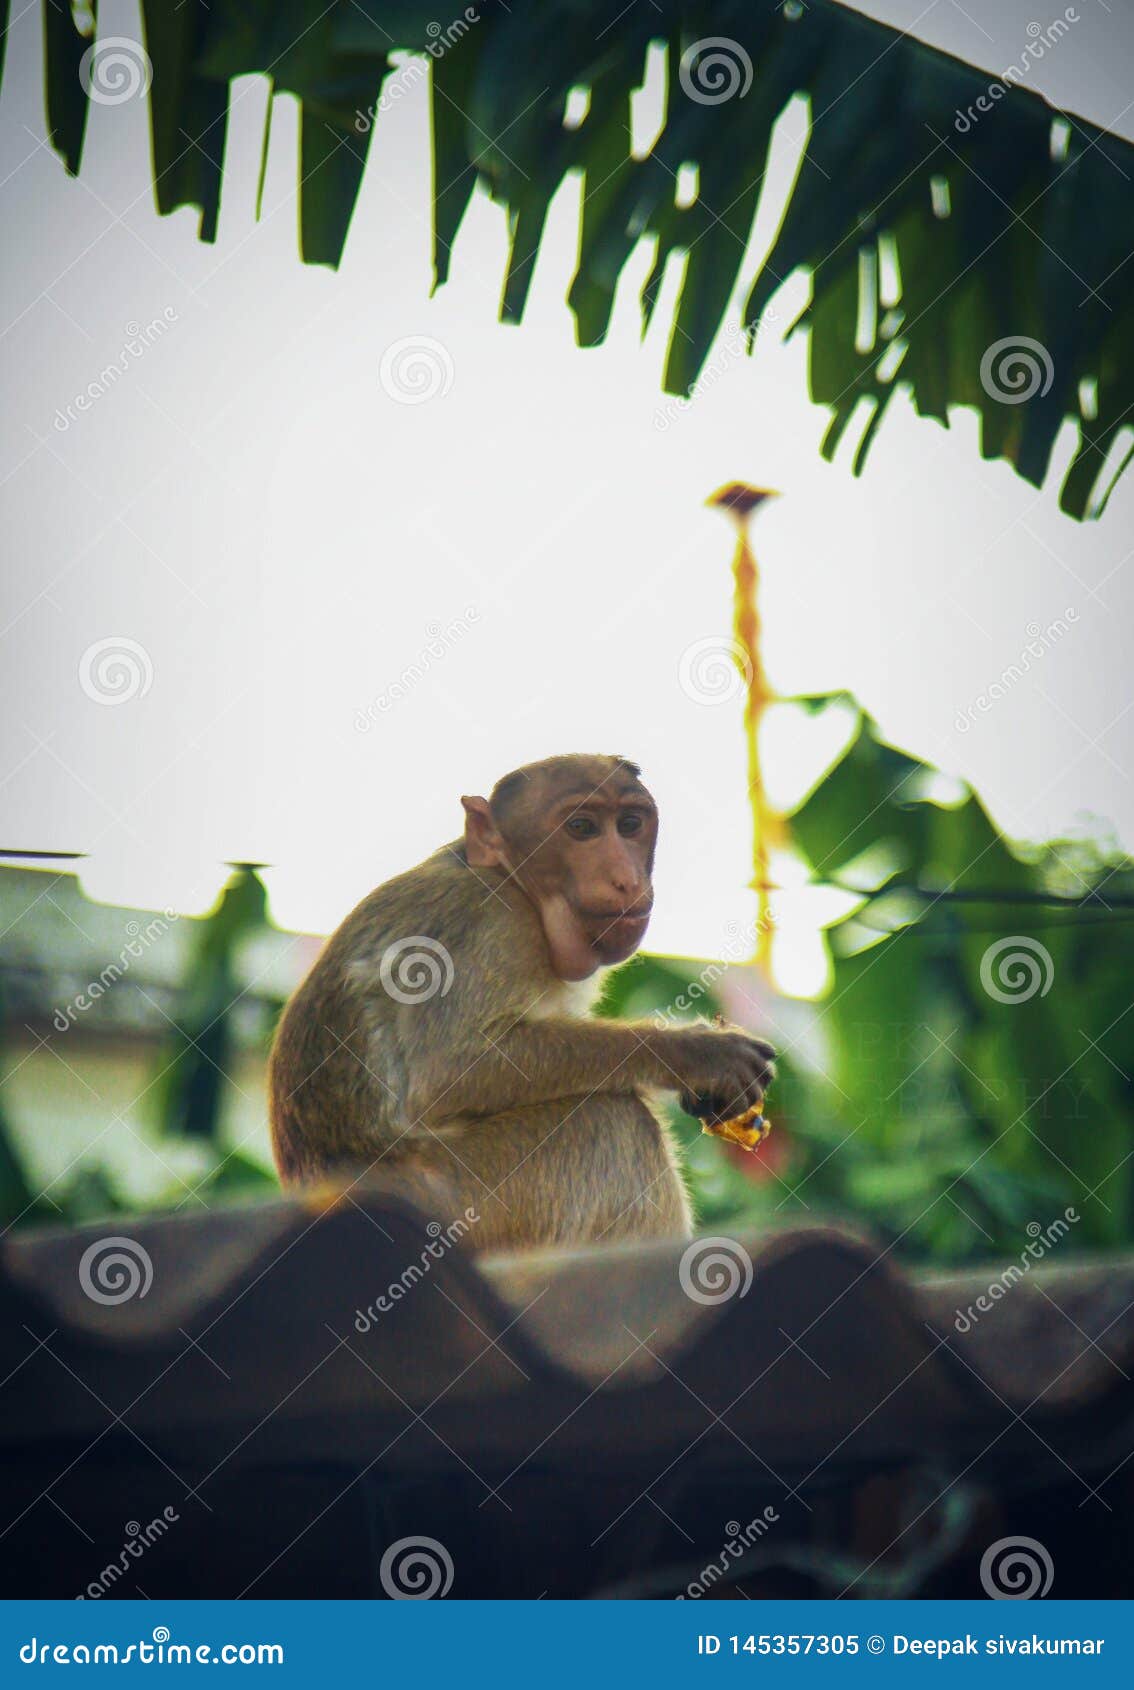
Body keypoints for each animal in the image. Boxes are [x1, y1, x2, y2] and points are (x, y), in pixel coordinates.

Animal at [268, 753, 775, 1253]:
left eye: (630, 824)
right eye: (582, 828)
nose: (625, 879)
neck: (512, 879)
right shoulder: (494, 922)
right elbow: (449, 1069)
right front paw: (696, 1053)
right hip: (466, 1202)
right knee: (612, 1122)